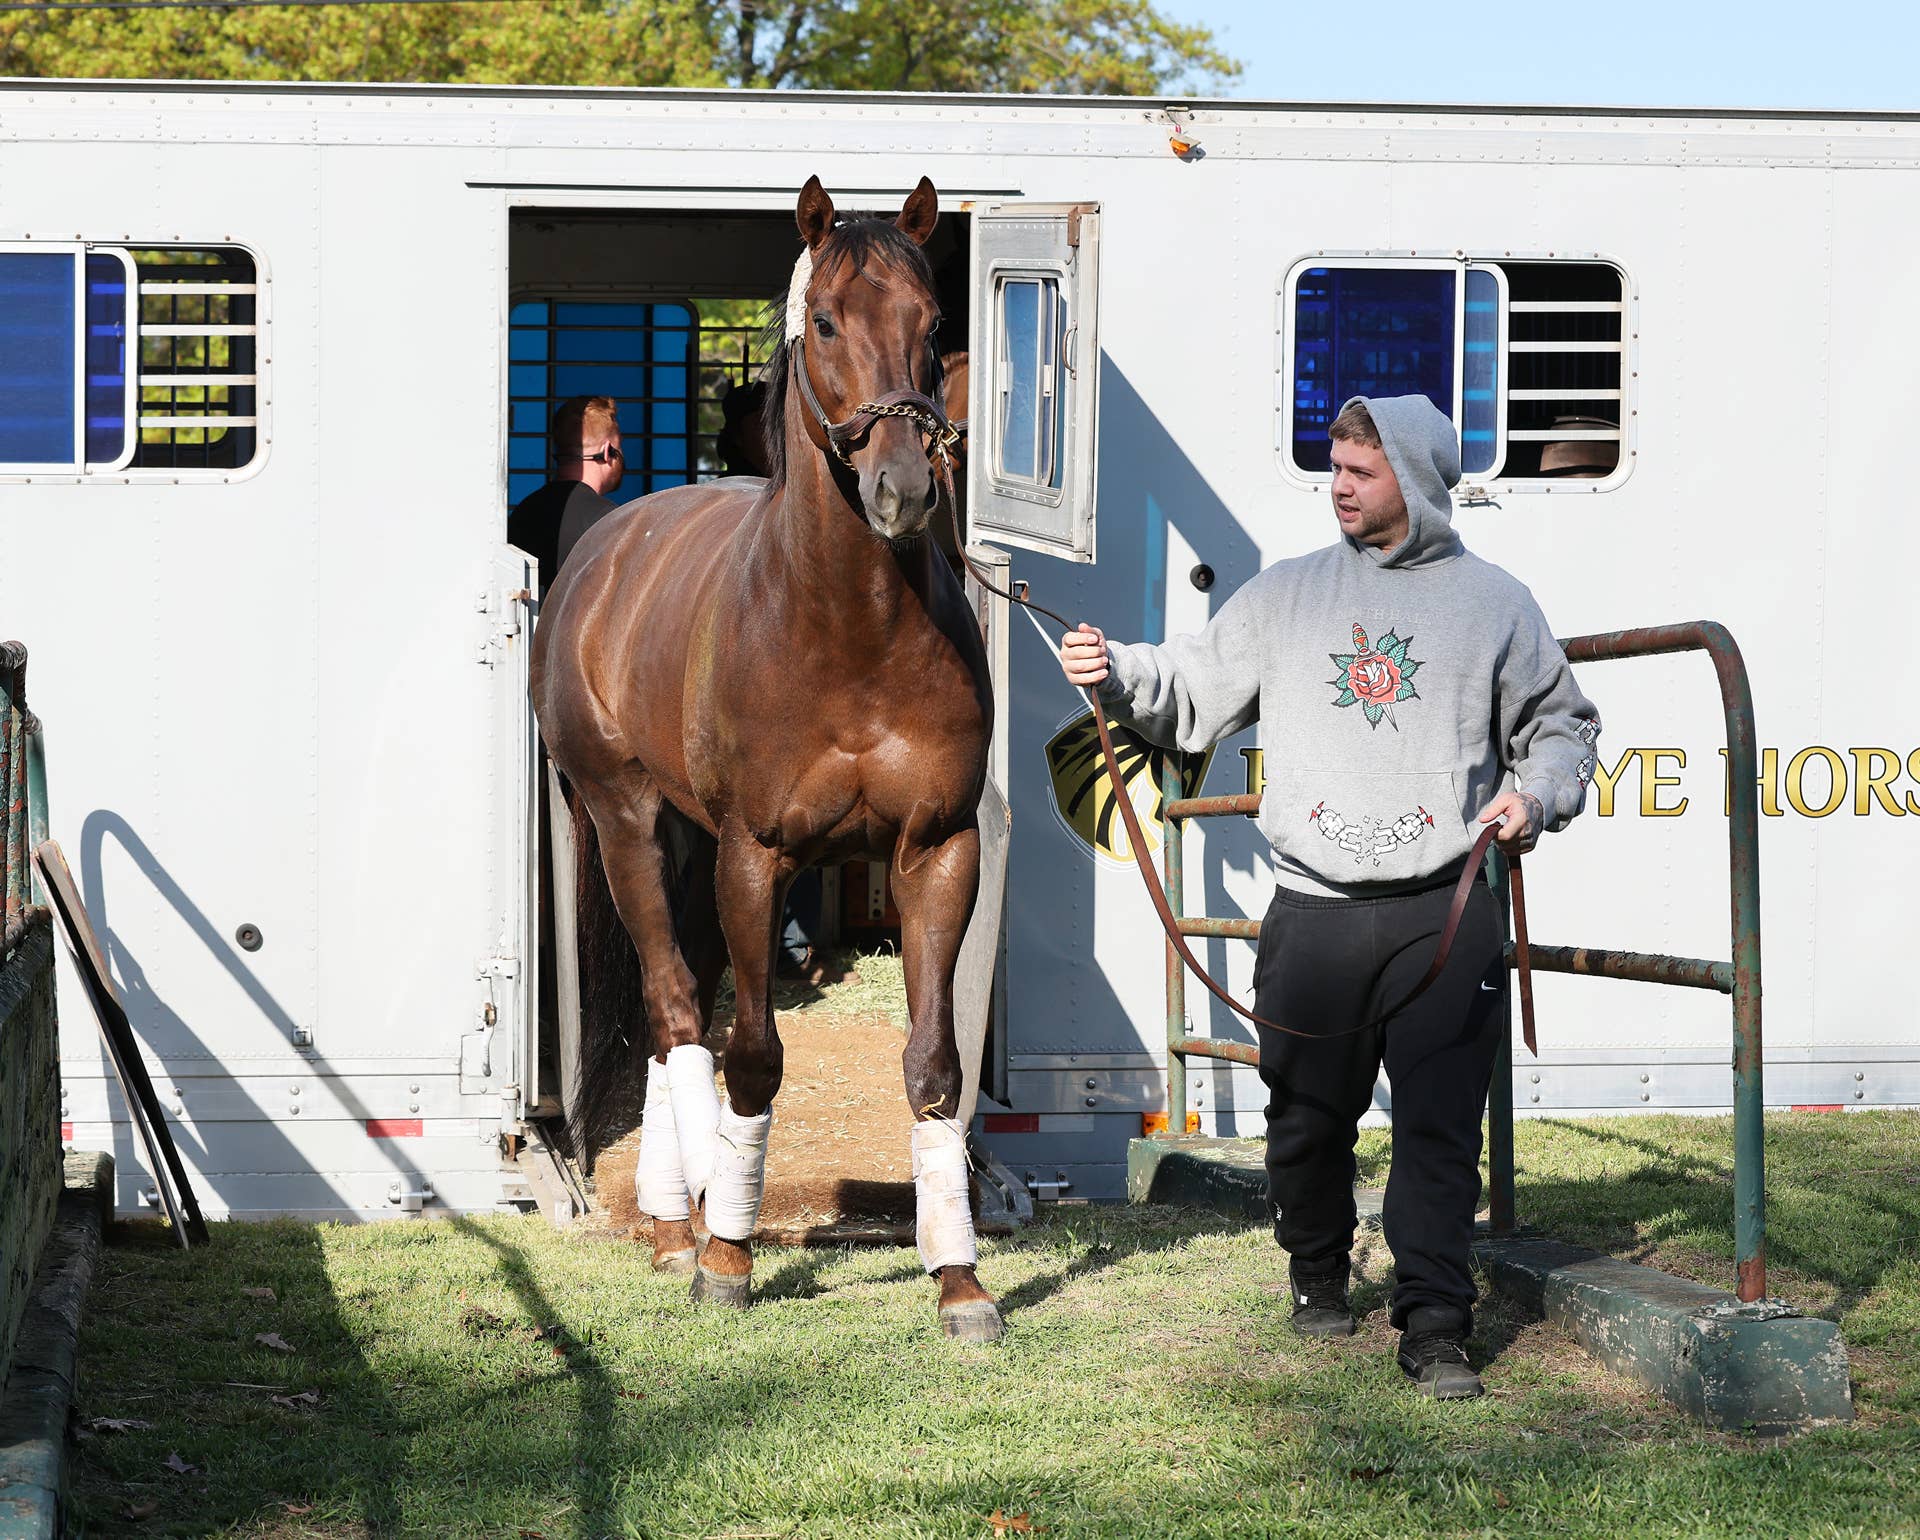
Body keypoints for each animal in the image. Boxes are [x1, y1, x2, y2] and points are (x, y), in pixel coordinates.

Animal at [531, 175, 1001, 1342]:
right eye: (826, 321)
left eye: (934, 323)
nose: (902, 491)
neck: (849, 631)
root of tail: (607, 549)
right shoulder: (758, 856)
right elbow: (751, 1057)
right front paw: (730, 1257)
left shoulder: (939, 850)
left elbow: (934, 1064)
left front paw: (960, 1280)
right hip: (629, 825)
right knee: (675, 1009)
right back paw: (683, 1223)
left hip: (689, 843)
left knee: (679, 1006)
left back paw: (675, 1212)